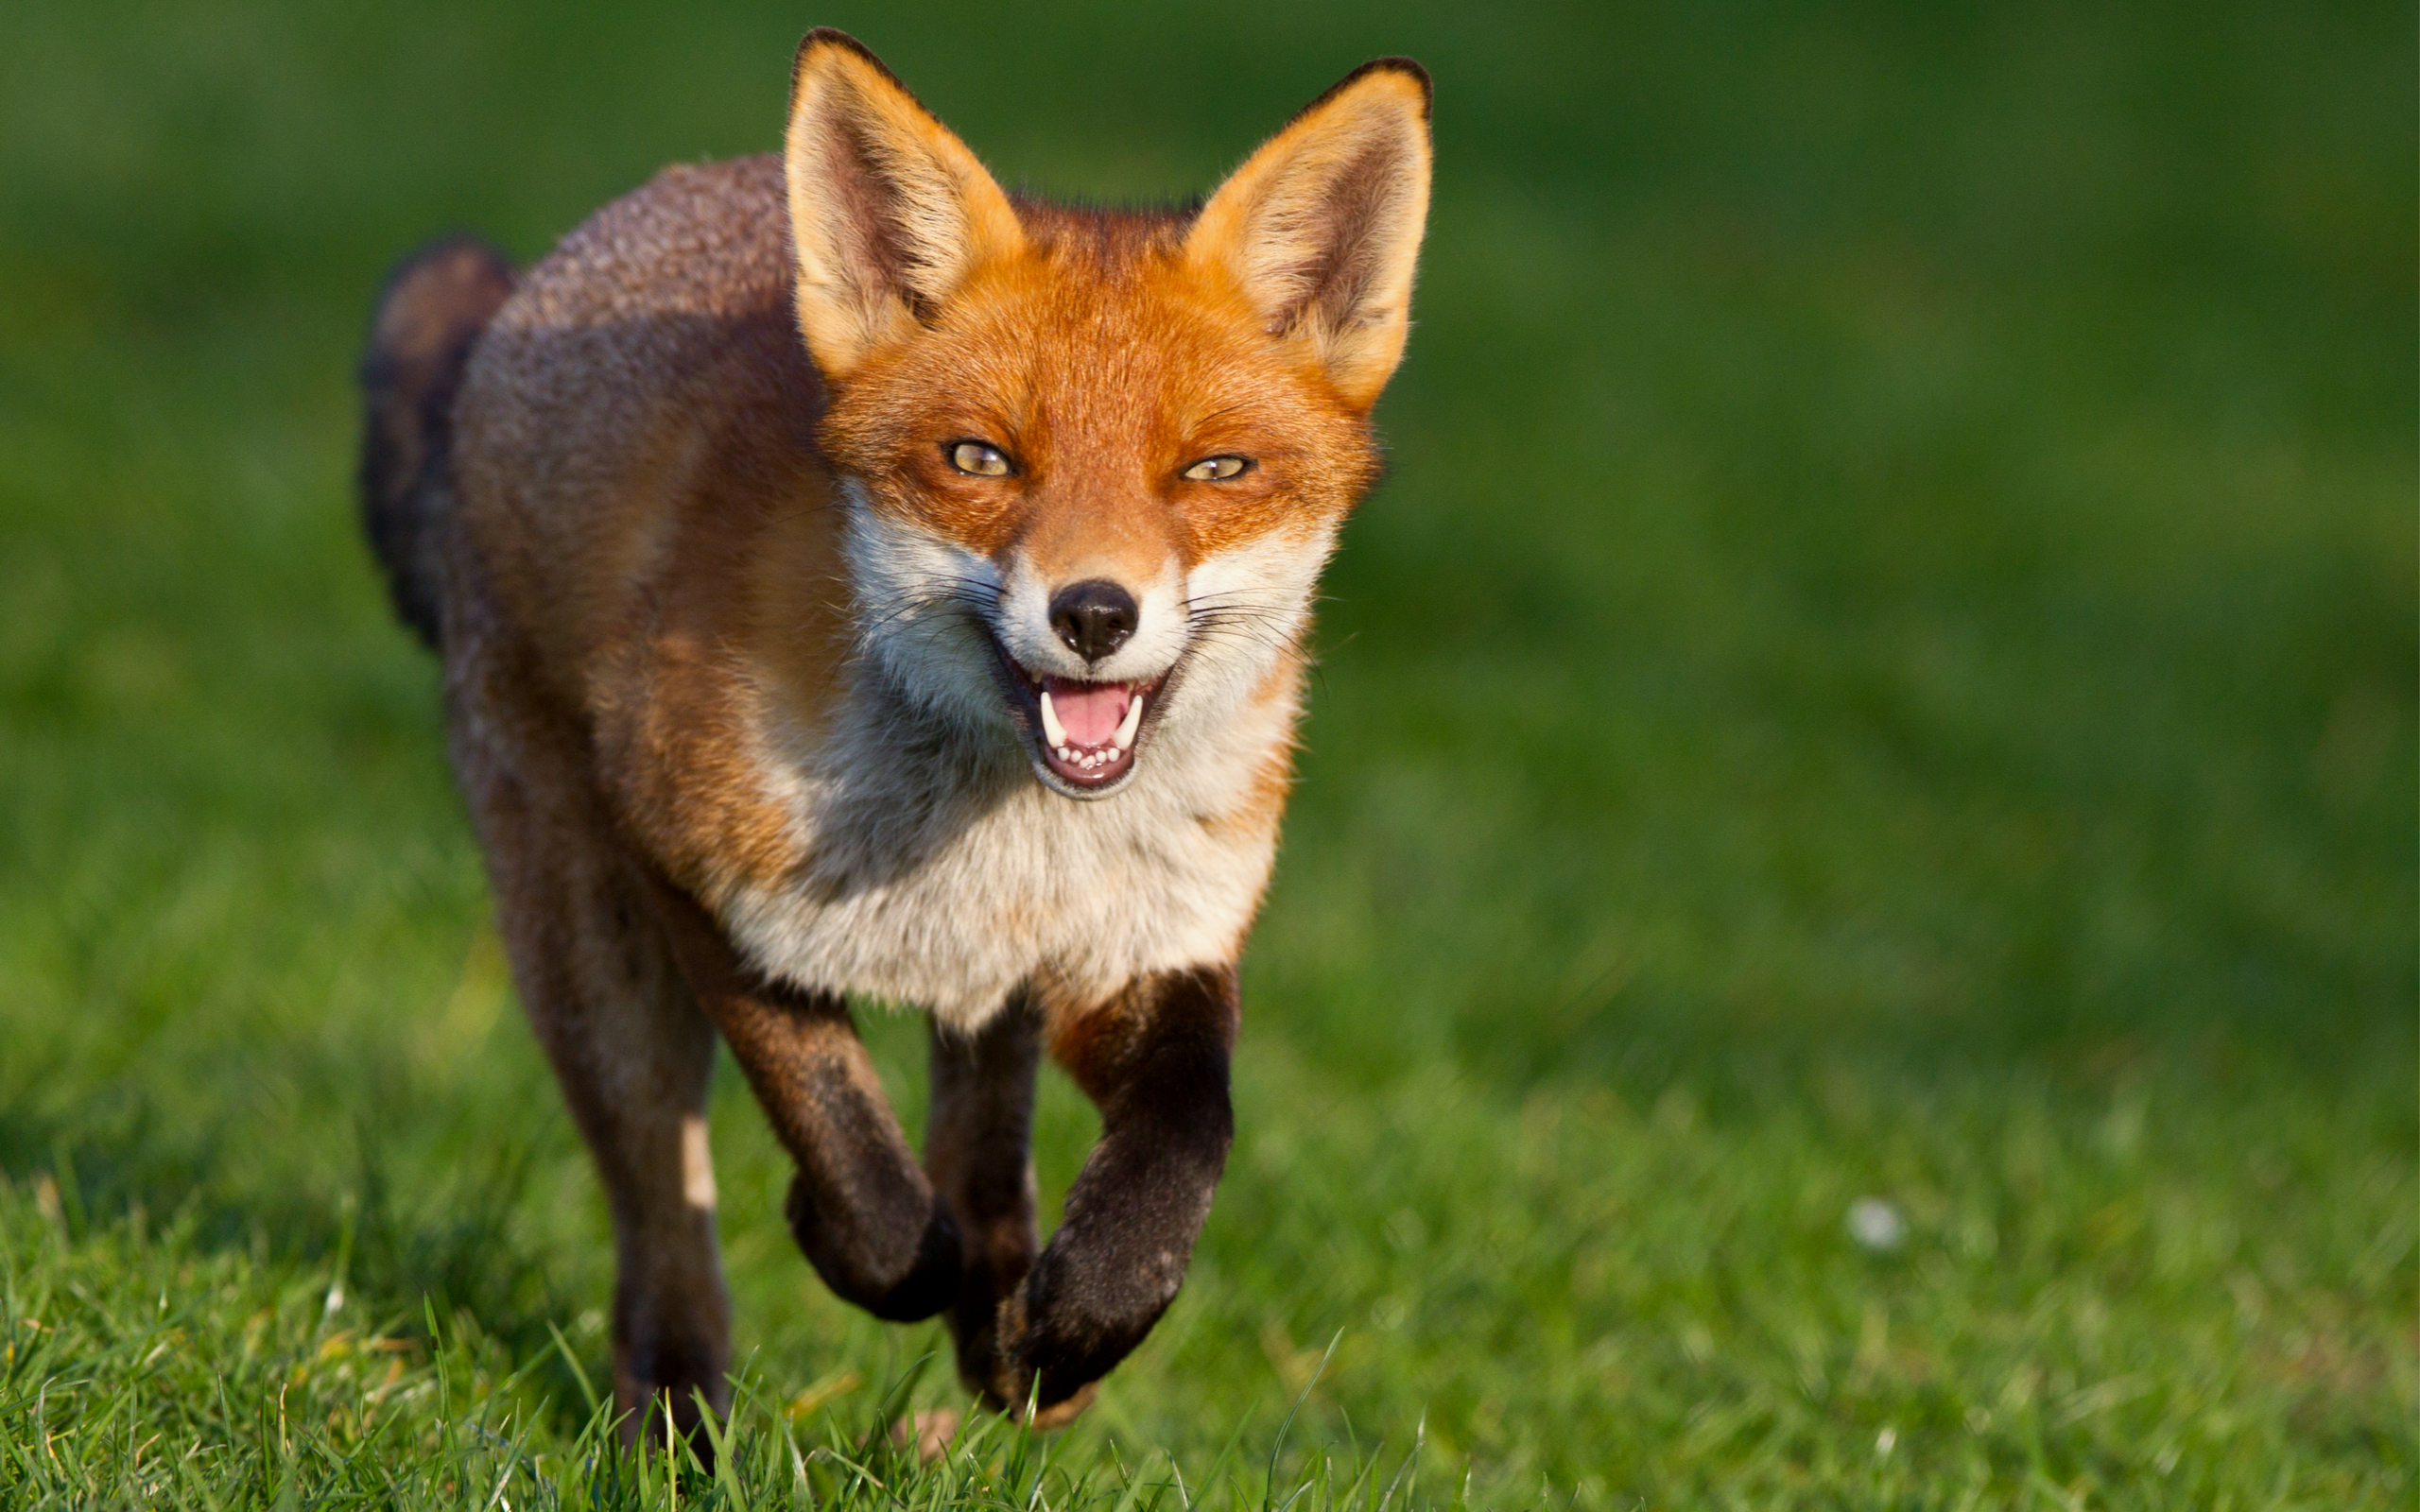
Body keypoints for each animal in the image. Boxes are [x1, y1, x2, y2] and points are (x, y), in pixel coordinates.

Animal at [357, 28, 1430, 1445]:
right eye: (978, 458)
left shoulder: (1150, 943)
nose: (1095, 613)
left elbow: (1185, 1140)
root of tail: (567, 262)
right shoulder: (698, 876)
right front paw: (838, 1235)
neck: (1004, 836)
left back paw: (1004, 1328)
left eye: (1214, 472)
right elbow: (854, 1162)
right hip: (588, 959)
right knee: (659, 1212)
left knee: (984, 1144)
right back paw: (678, 1416)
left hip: (986, 999)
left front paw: (1084, 1315)